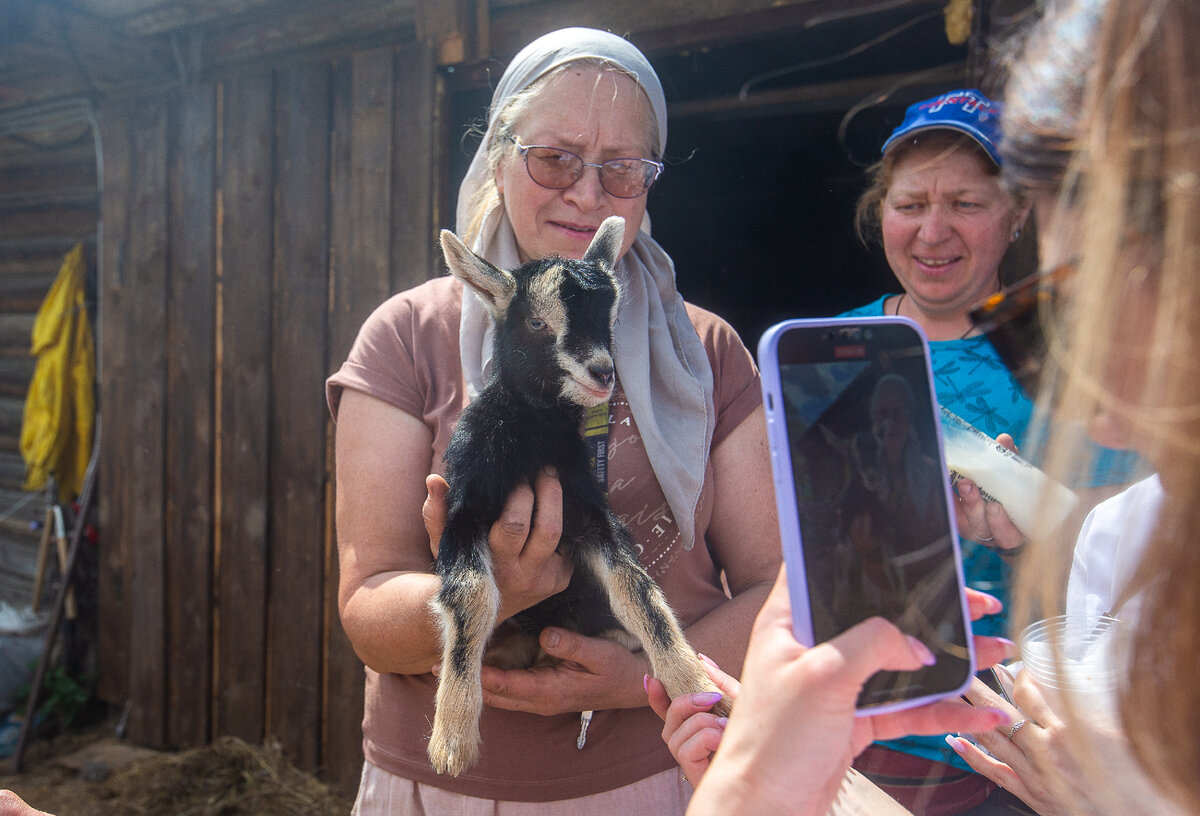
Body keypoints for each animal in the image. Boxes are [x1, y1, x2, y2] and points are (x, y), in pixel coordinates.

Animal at [432, 217, 724, 777]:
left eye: (609, 318)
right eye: (537, 322)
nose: (603, 372)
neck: (533, 437)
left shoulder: (590, 514)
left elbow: (639, 591)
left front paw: (699, 690)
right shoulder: (463, 512)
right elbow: (473, 594)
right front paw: (451, 739)